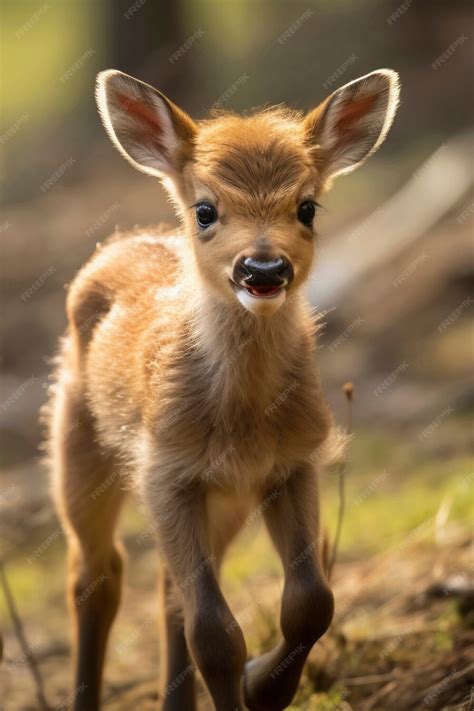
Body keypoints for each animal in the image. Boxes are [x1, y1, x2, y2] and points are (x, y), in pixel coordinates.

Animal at [46, 67, 399, 710]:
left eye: (307, 207)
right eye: (206, 209)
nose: (262, 269)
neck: (244, 420)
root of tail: (120, 241)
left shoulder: (293, 462)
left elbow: (312, 601)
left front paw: (261, 686)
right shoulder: (164, 468)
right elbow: (213, 632)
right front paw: (248, 682)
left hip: (225, 500)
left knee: (166, 589)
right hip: (76, 440)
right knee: (95, 574)